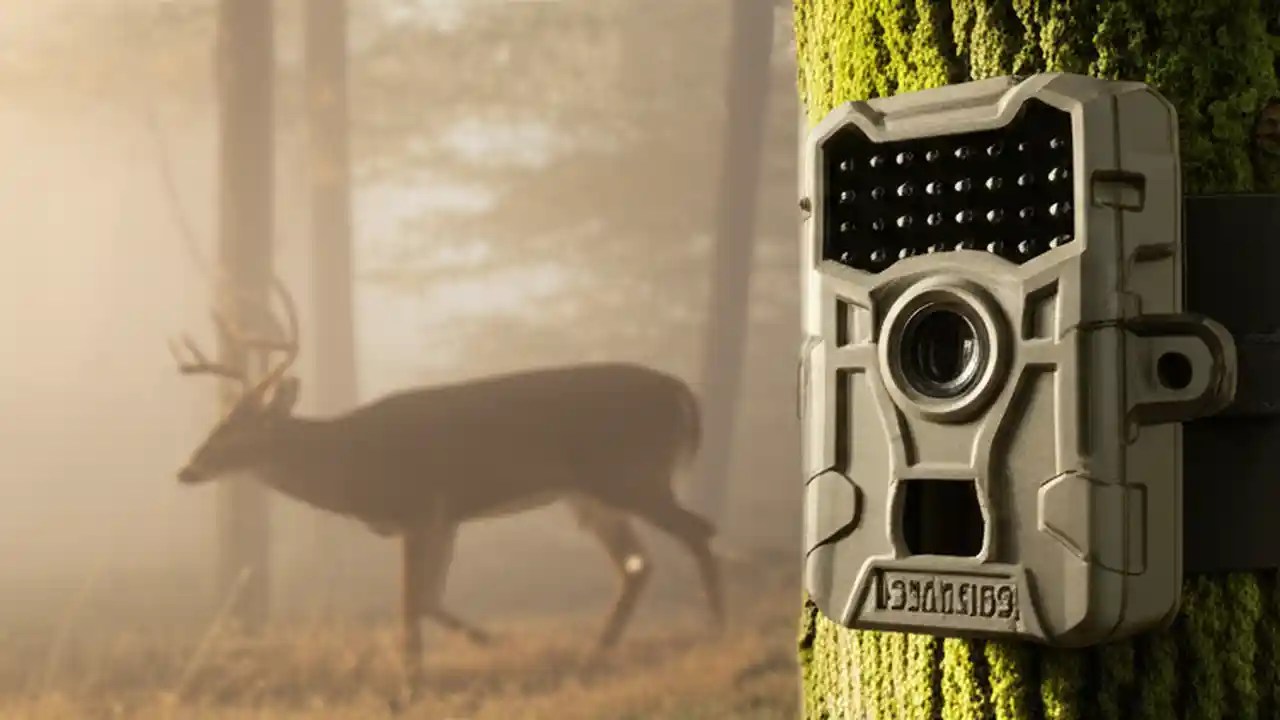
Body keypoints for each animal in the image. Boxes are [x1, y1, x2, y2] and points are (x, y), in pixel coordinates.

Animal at [170, 277, 725, 685]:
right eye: (216, 424)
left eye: (240, 430)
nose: (187, 469)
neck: (352, 465)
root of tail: (682, 394)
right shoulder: (445, 518)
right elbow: (429, 599)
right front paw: (492, 642)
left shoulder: (418, 508)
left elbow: (410, 602)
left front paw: (413, 683)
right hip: (593, 496)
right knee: (637, 564)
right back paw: (597, 652)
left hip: (631, 474)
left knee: (698, 530)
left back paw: (715, 629)